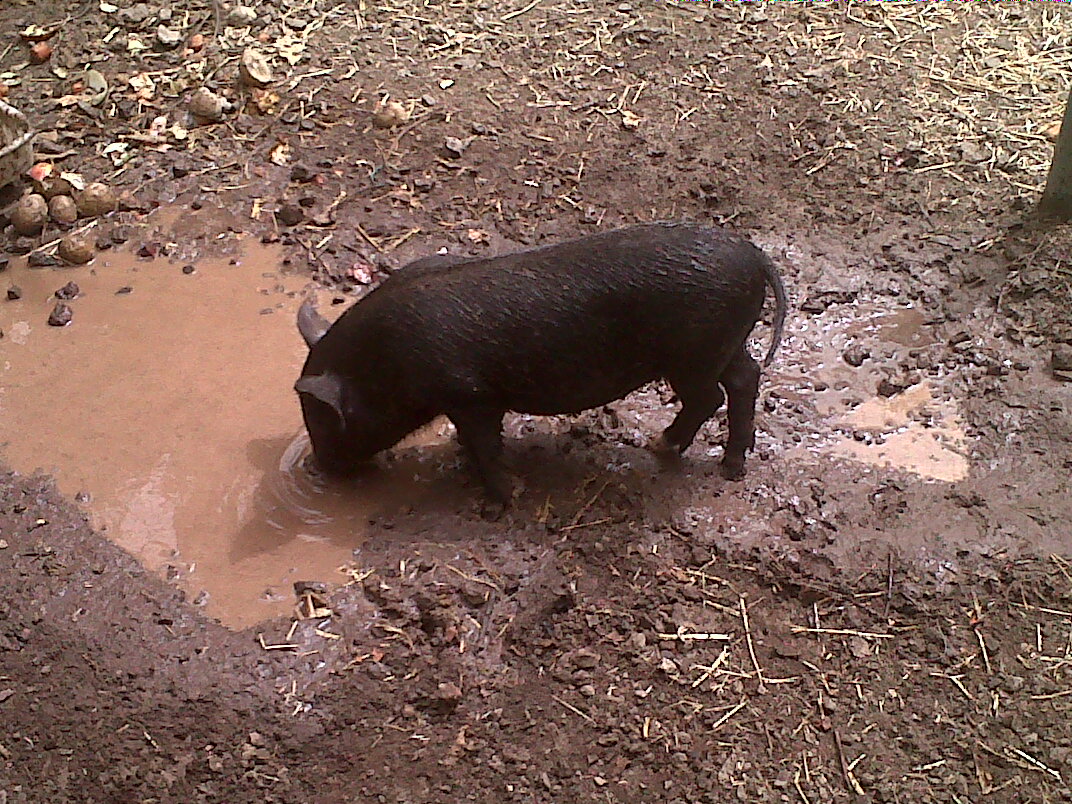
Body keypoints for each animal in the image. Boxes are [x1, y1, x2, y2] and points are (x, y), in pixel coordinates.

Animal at [295, 222, 788, 505]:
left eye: (323, 420)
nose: (321, 468)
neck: (387, 361)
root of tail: (754, 254)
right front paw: (463, 459)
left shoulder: (470, 393)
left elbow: (487, 445)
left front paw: (502, 500)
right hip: (725, 341)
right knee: (745, 378)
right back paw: (730, 466)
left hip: (695, 352)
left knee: (710, 396)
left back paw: (662, 447)